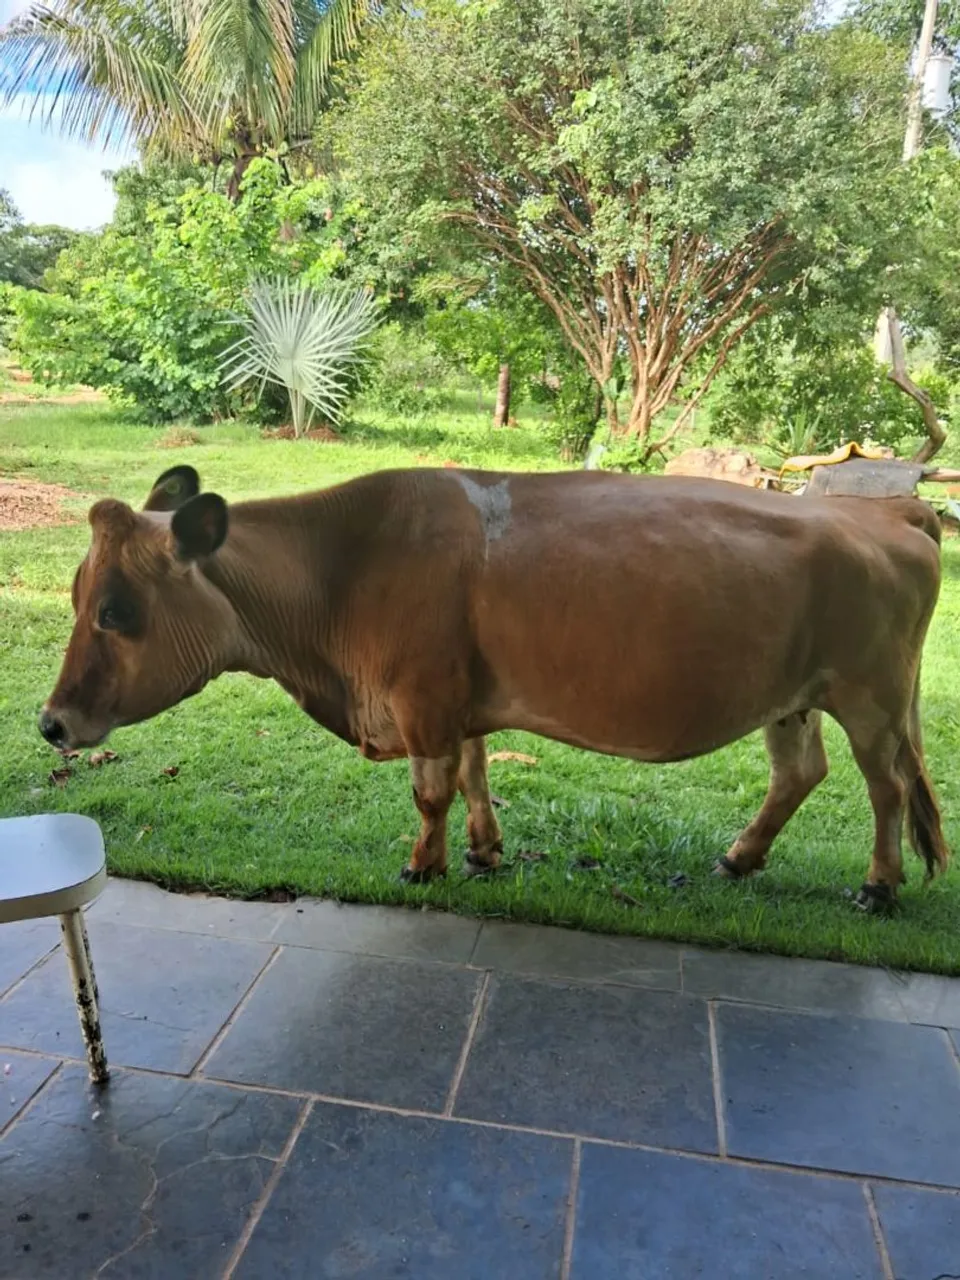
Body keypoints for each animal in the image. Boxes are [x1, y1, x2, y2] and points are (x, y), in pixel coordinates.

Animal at [39, 463, 947, 911]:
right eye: (76, 592)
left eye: (117, 610)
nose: (51, 723)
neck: (342, 567)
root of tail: (890, 512)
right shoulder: (459, 699)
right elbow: (475, 774)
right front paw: (481, 852)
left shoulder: (423, 699)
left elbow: (430, 790)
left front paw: (424, 865)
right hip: (792, 700)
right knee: (800, 774)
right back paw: (738, 858)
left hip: (871, 699)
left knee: (887, 787)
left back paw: (878, 886)